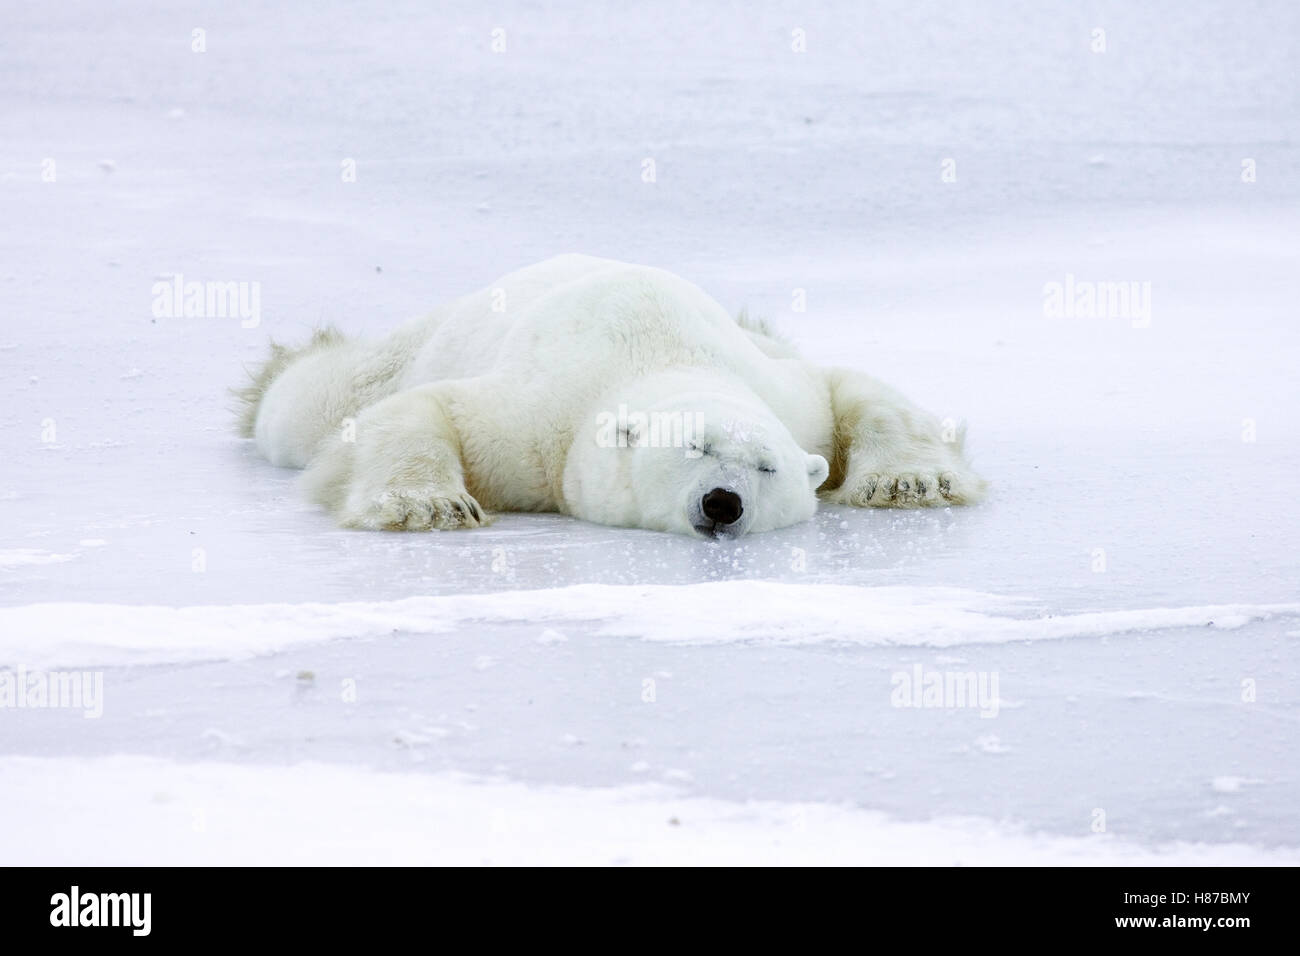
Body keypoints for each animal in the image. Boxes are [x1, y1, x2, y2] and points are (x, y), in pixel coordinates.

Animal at [235, 254, 985, 537]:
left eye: (767, 467)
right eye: (694, 446)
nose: (723, 501)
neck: (658, 353)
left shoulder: (787, 395)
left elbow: (849, 389)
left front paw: (909, 483)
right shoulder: (535, 419)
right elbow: (429, 411)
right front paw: (430, 505)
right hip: (404, 352)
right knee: (310, 403)